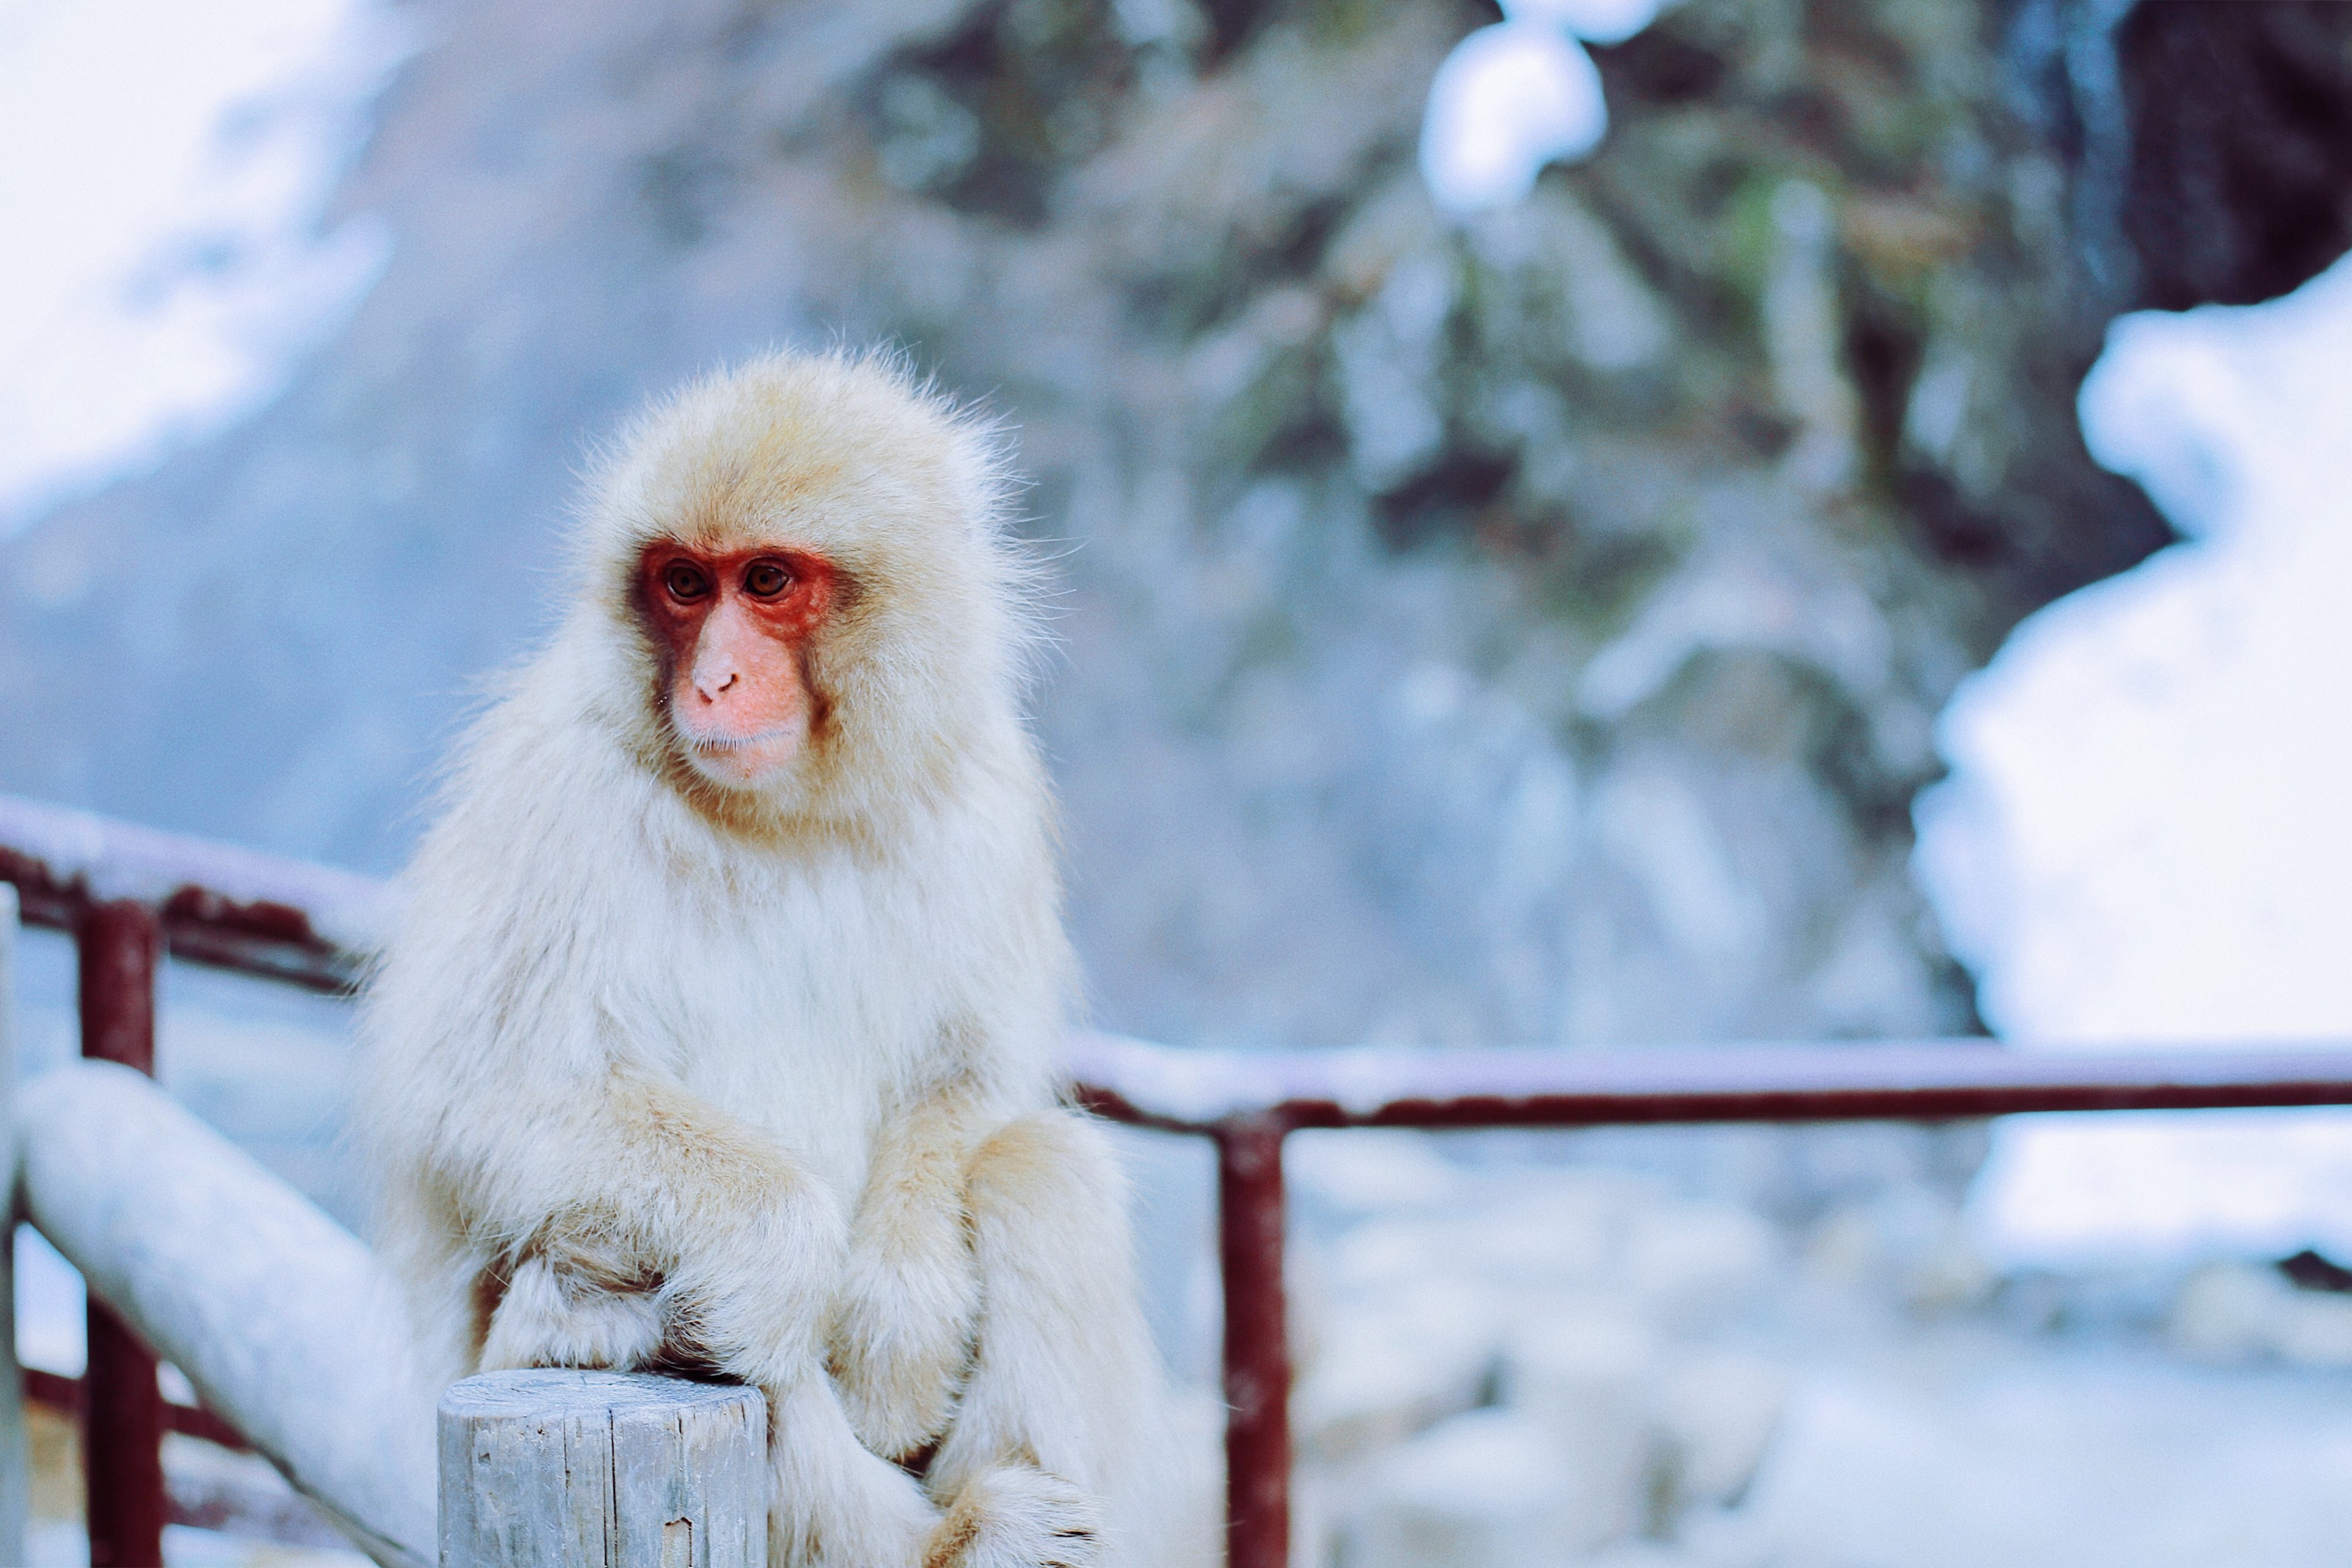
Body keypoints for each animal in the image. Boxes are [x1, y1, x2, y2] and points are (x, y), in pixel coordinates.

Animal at [355, 350, 1190, 1568]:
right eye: (681, 586)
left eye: (765, 581)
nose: (713, 682)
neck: (788, 816)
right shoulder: (557, 794)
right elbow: (491, 1092)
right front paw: (786, 1252)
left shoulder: (984, 798)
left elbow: (970, 1074)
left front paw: (900, 1323)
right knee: (689, 1299)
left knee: (1041, 1169)